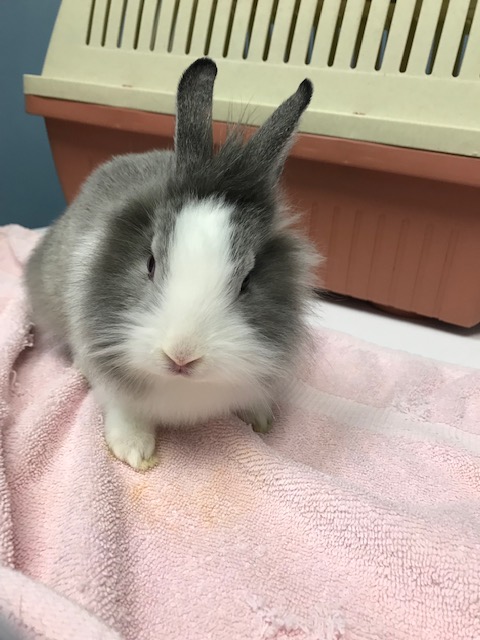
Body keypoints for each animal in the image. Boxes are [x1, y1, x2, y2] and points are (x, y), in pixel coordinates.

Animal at [24, 58, 319, 471]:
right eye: (149, 263)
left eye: (247, 281)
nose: (181, 357)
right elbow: (123, 409)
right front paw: (134, 451)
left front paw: (261, 419)